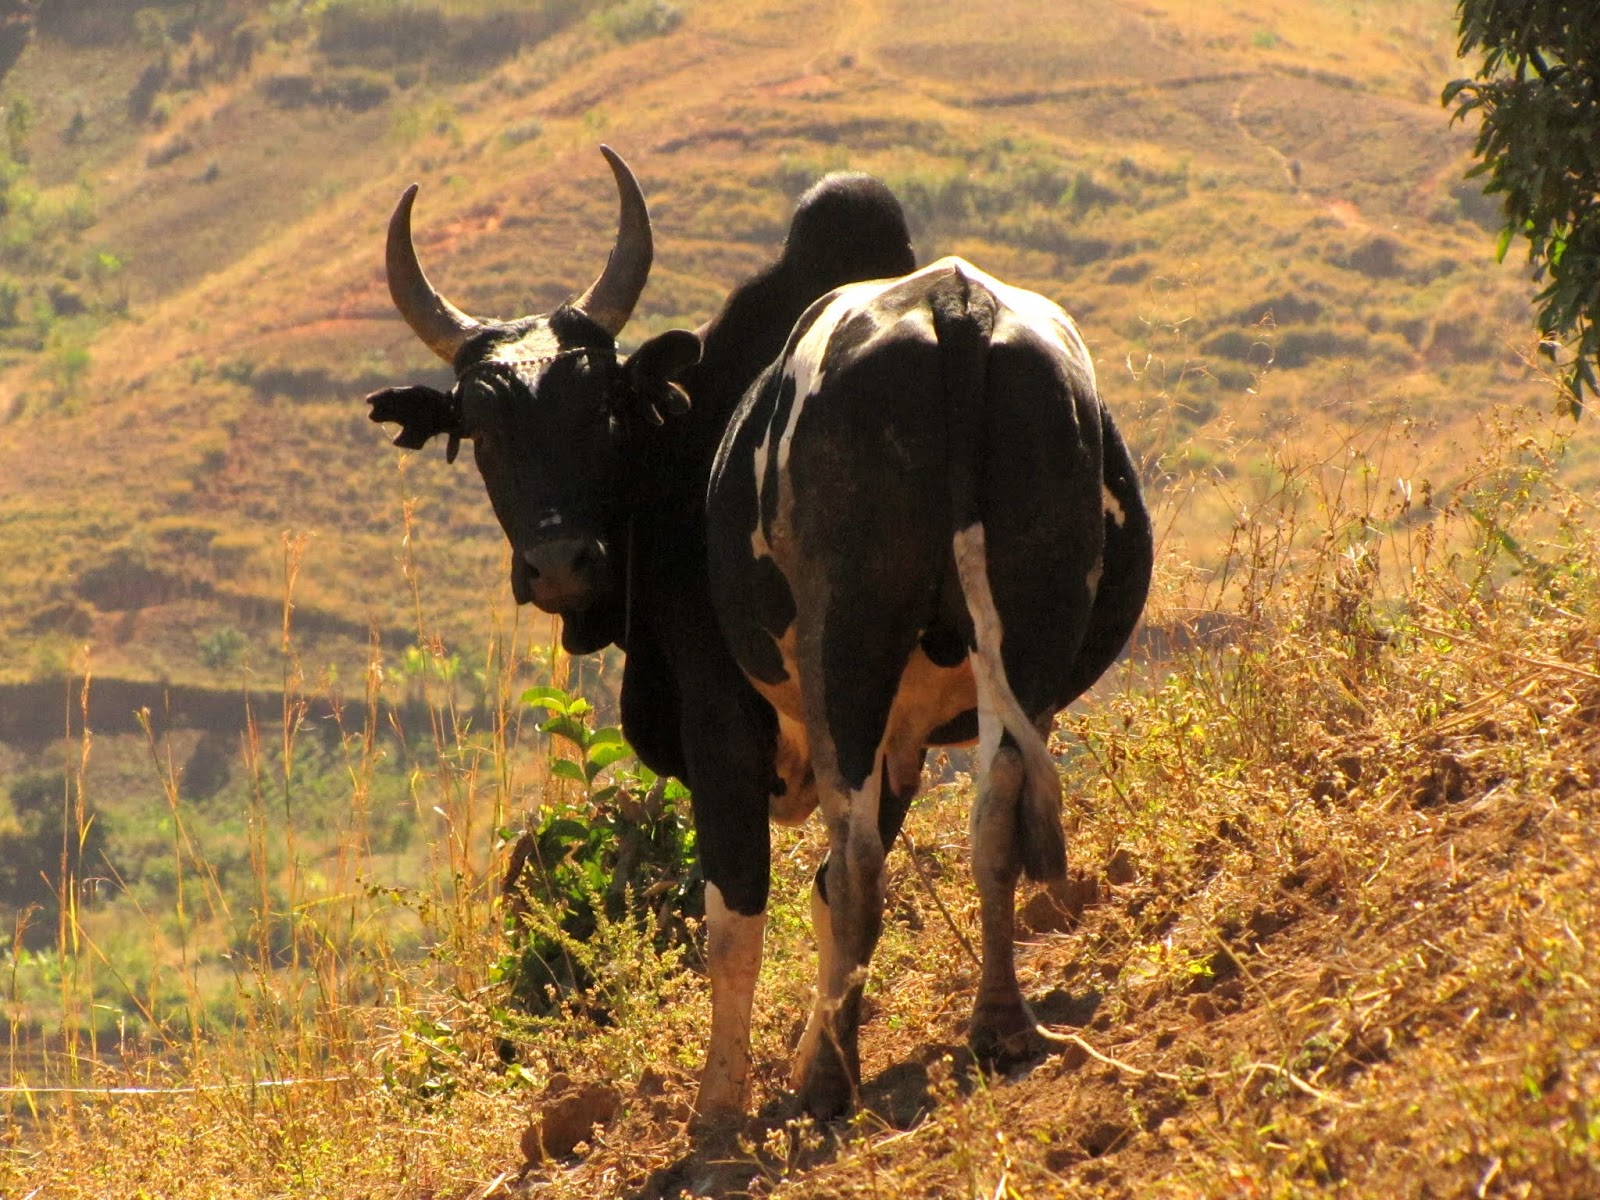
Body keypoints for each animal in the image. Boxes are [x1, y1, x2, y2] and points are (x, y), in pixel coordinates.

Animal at [364, 147, 1153, 1124]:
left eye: (601, 406)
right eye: (479, 425)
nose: (558, 565)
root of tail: (956, 314)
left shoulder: (723, 723)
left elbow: (738, 911)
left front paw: (722, 1107)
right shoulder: (904, 737)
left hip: (847, 653)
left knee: (856, 866)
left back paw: (830, 1081)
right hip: (1026, 642)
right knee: (989, 822)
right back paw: (996, 1025)